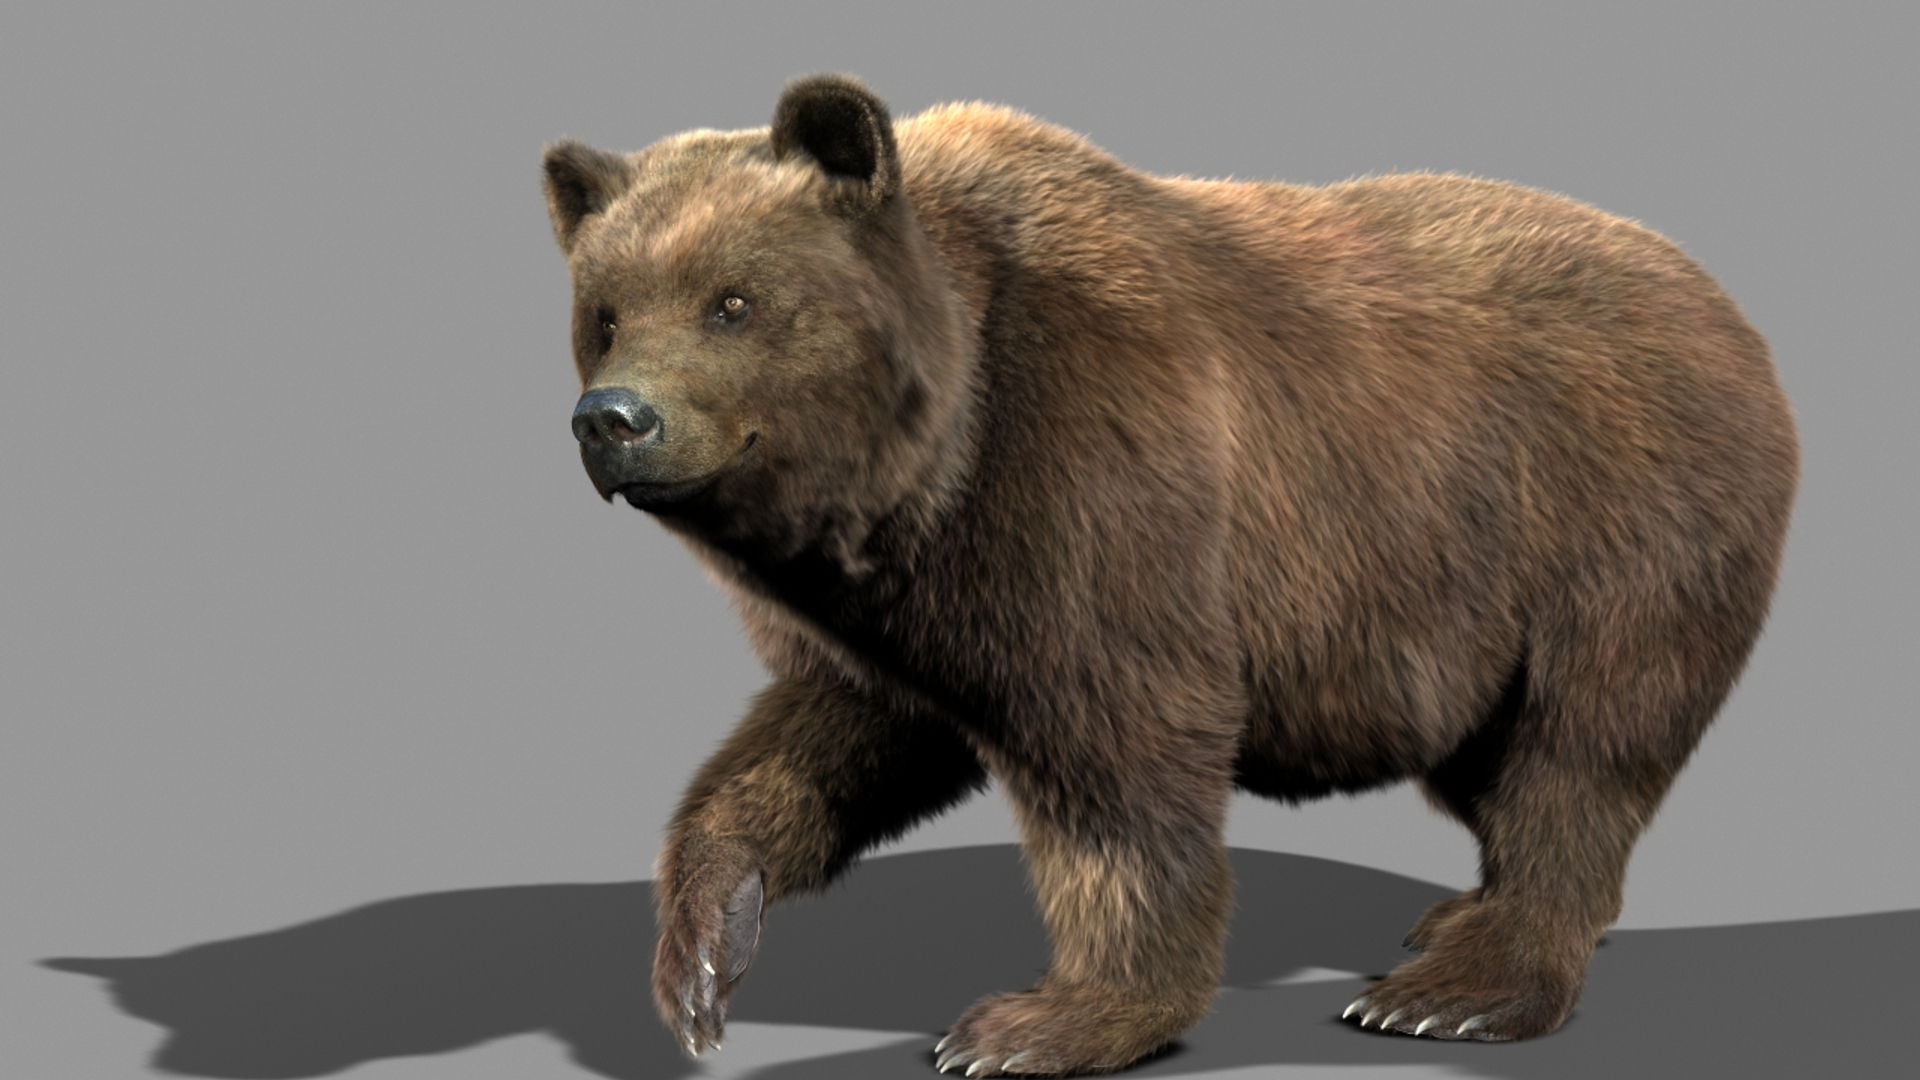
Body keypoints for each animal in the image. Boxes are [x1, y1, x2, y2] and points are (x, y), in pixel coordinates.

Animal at [540, 75, 1797, 1075]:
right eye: (605, 313)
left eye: (733, 301)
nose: (614, 420)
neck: (933, 460)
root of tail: (1727, 308)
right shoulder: (902, 607)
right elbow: (829, 734)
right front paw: (702, 960)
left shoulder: (1097, 474)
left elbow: (1120, 757)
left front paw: (1036, 1022)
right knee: (1496, 759)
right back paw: (1455, 921)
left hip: (1609, 524)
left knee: (1579, 747)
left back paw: (1458, 988)